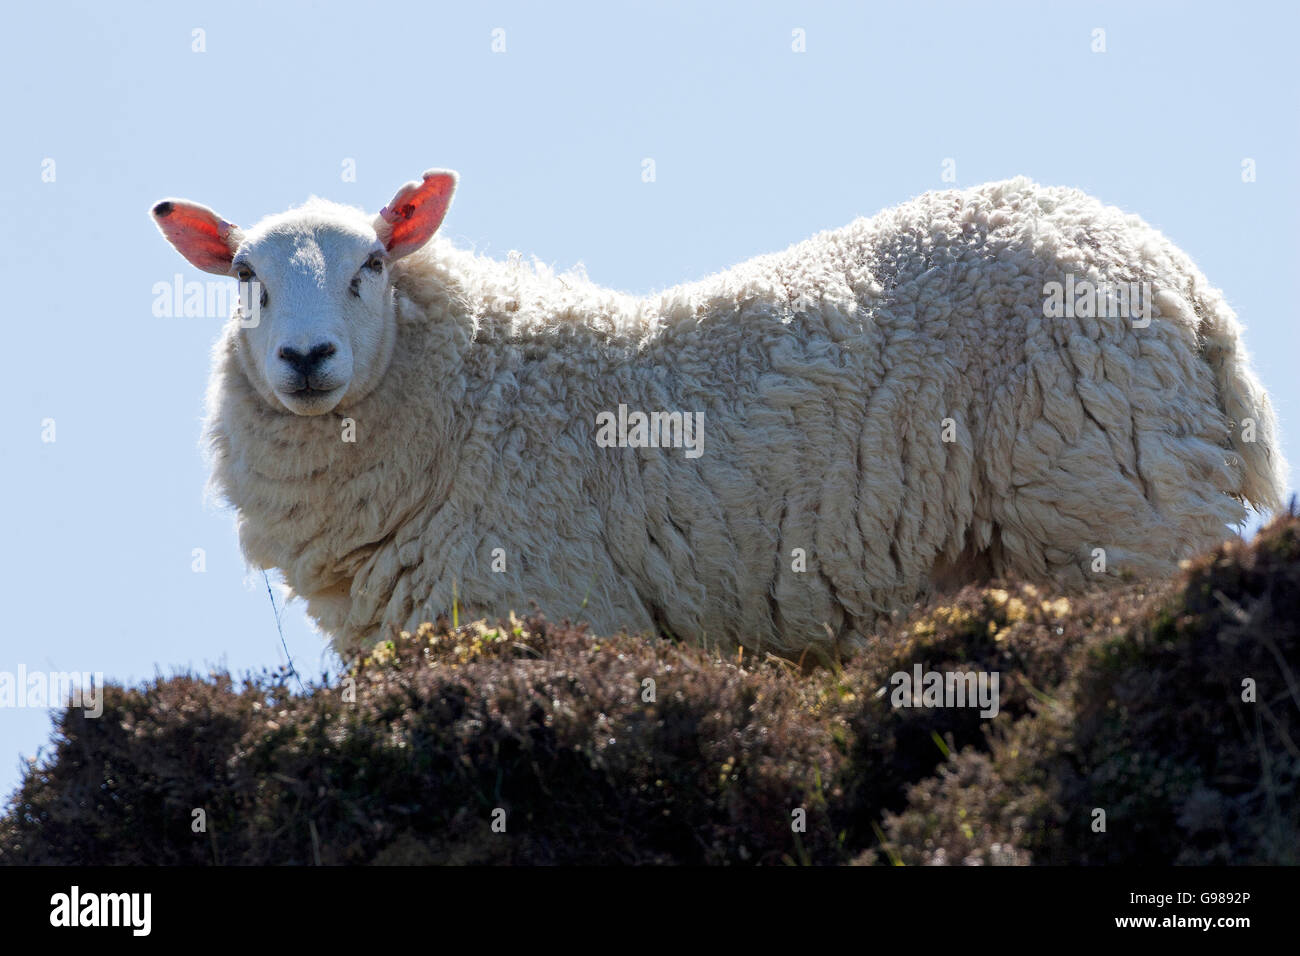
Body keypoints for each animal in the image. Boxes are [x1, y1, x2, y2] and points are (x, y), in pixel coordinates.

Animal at [151, 170, 1288, 659]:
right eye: (246, 274)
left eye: (373, 266)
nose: (305, 359)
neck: (473, 384)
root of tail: (1190, 292)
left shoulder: (539, 604)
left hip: (1114, 510)